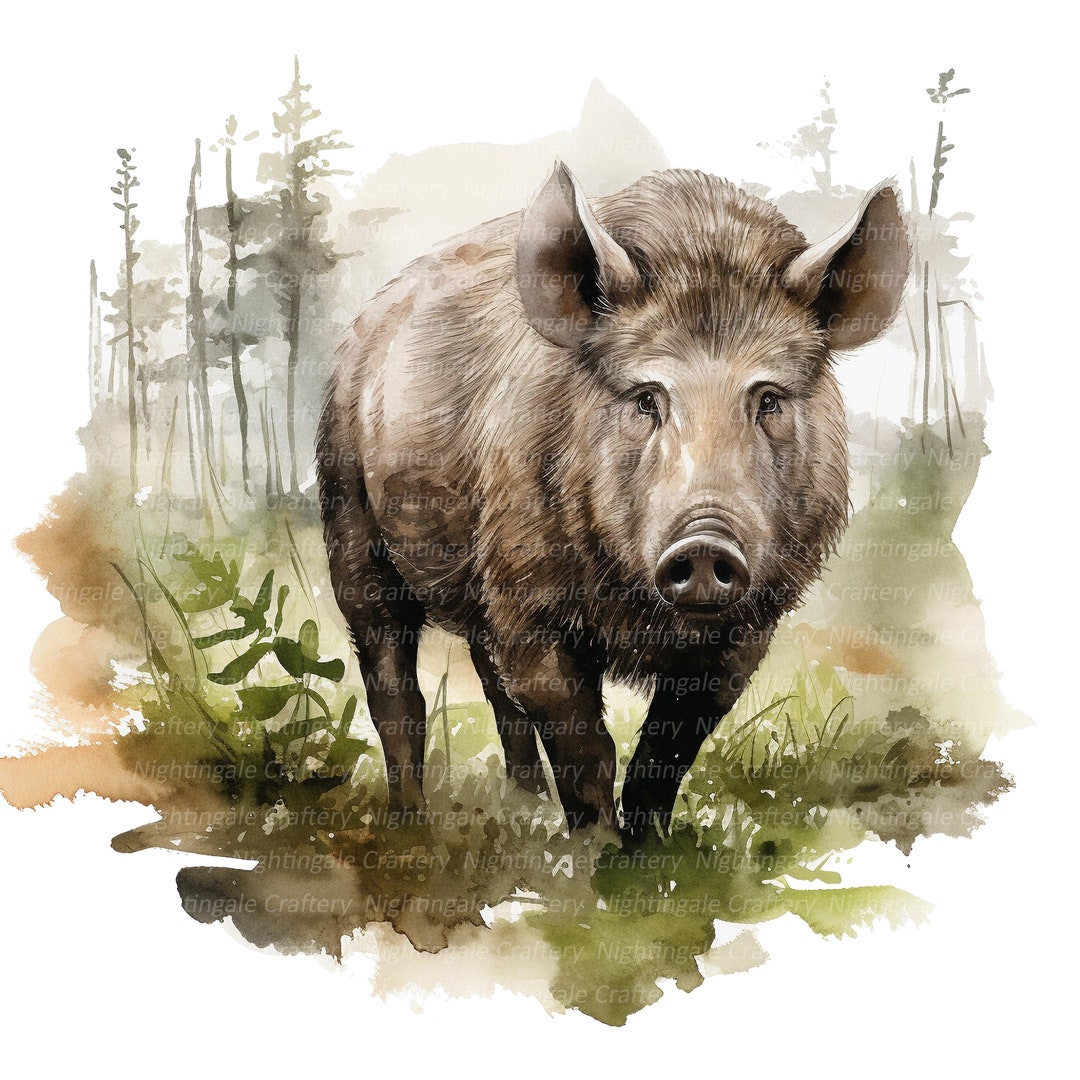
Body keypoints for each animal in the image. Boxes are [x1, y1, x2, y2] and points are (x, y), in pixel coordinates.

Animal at [318, 163, 909, 838]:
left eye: (769, 399)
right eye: (647, 398)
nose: (705, 542)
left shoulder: (748, 630)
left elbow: (665, 752)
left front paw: (649, 854)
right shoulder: (531, 595)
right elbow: (585, 744)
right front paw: (595, 859)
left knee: (492, 682)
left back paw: (524, 808)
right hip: (349, 513)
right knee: (394, 681)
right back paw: (413, 825)